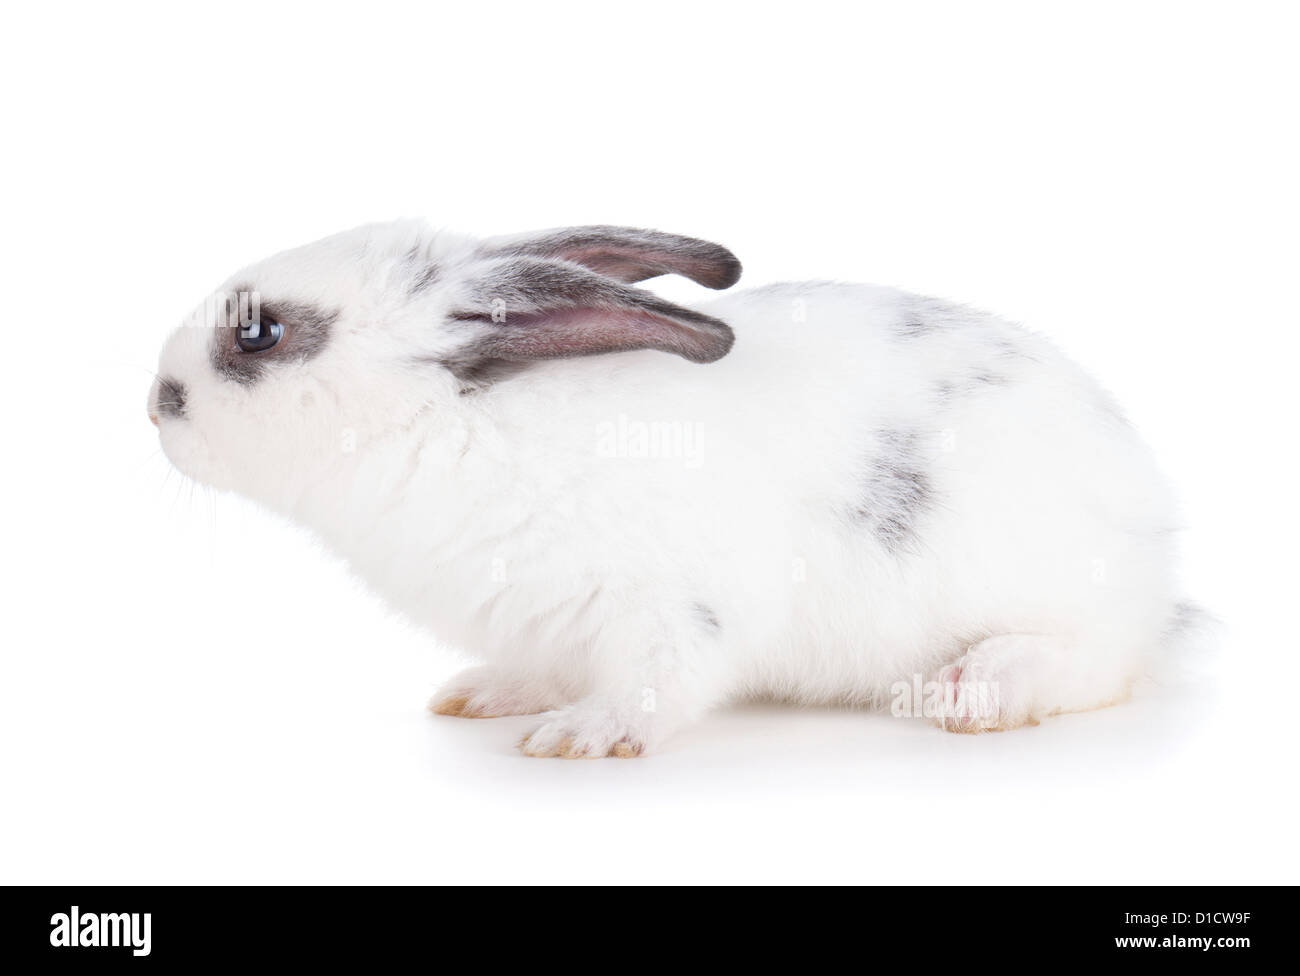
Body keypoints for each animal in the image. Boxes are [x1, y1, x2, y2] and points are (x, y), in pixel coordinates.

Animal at [149, 220, 1190, 758]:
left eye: (260, 334)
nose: (156, 402)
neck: (453, 428)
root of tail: (1157, 554)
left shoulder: (677, 609)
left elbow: (657, 685)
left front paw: (580, 737)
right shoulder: (549, 622)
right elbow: (548, 666)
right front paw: (488, 695)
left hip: (1060, 605)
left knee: (1100, 664)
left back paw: (977, 690)